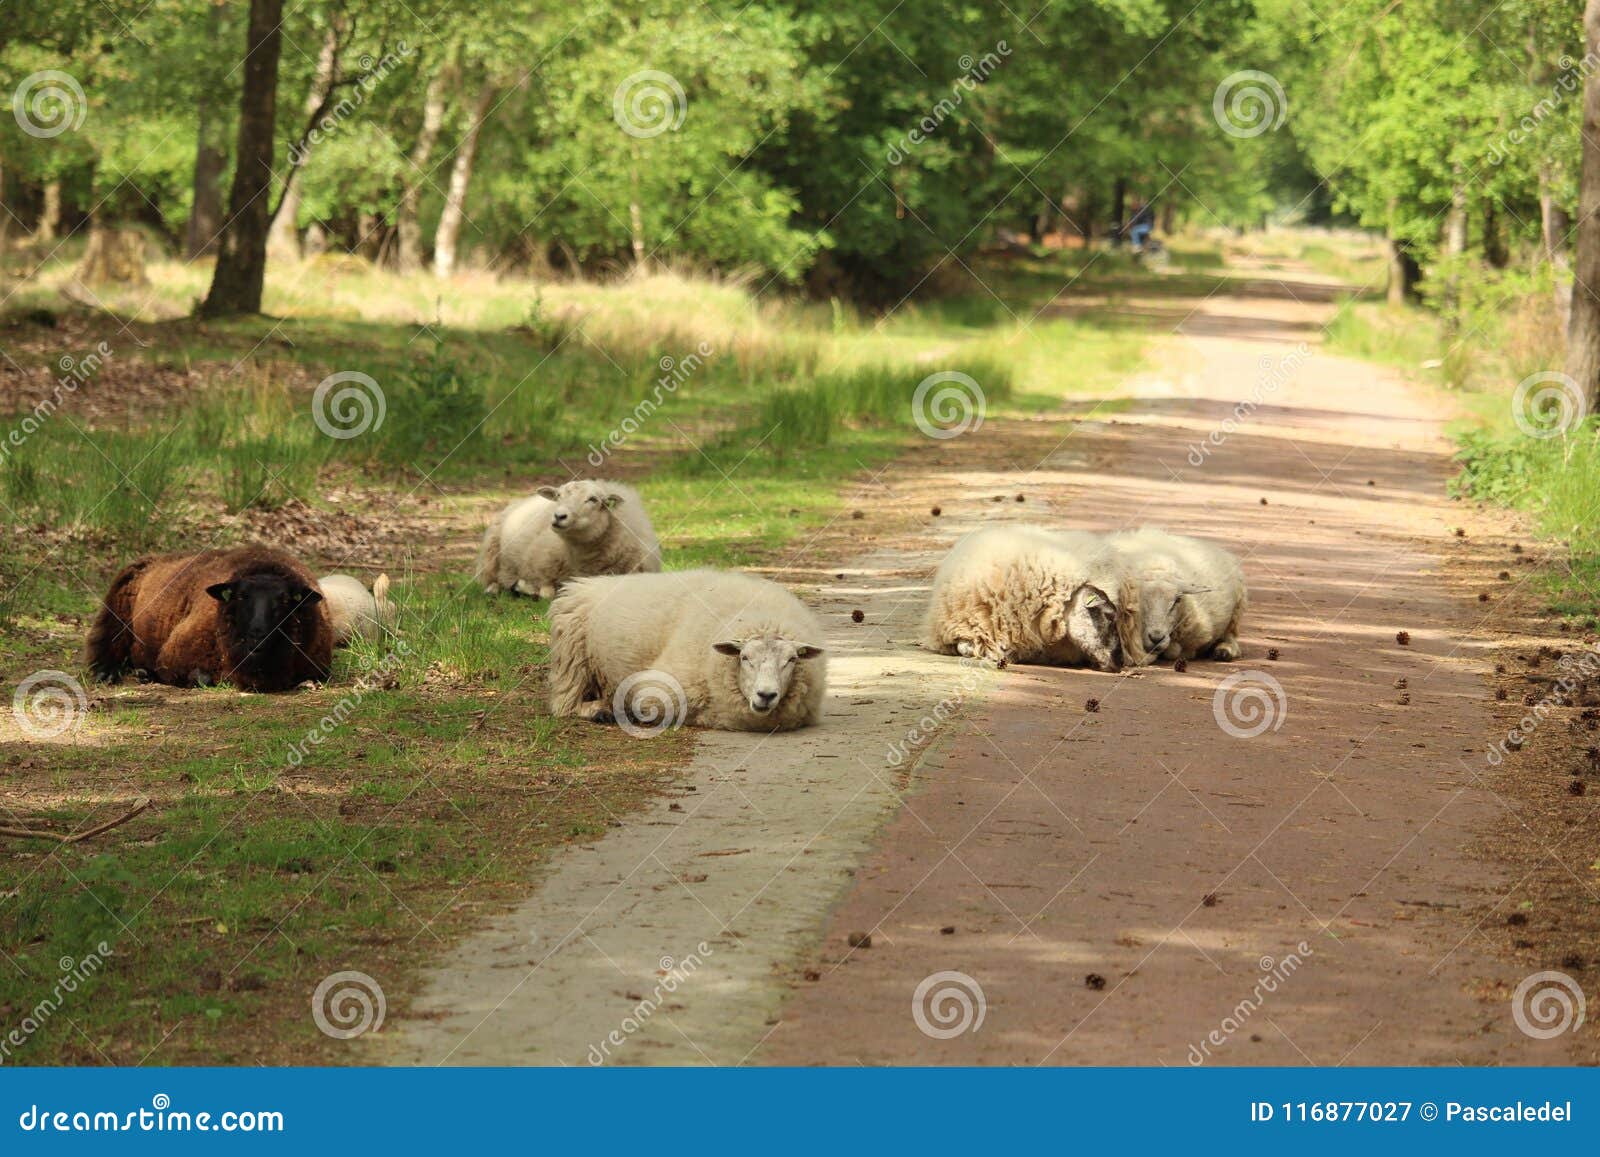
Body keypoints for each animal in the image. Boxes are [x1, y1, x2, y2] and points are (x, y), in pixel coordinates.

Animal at [85, 546, 333, 692]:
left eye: (285, 600)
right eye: (241, 596)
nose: (258, 636)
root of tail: (156, 557)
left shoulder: (319, 669)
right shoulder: (172, 657)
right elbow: (199, 678)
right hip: (114, 617)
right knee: (104, 646)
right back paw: (108, 674)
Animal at [475, 480, 660, 599]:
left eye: (593, 499)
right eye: (558, 495)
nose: (559, 516)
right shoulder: (540, 570)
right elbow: (546, 593)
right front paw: (525, 588)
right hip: (491, 552)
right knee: (492, 579)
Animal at [548, 569, 826, 732]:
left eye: (792, 660)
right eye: (744, 657)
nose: (766, 695)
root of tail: (586, 582)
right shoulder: (659, 687)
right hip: (572, 659)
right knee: (564, 705)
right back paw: (599, 711)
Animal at [1105, 527, 1247, 664]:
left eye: (1177, 600)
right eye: (1137, 601)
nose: (1156, 638)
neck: (1156, 567)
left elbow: (1174, 651)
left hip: (1235, 614)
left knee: (1231, 639)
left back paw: (1224, 651)